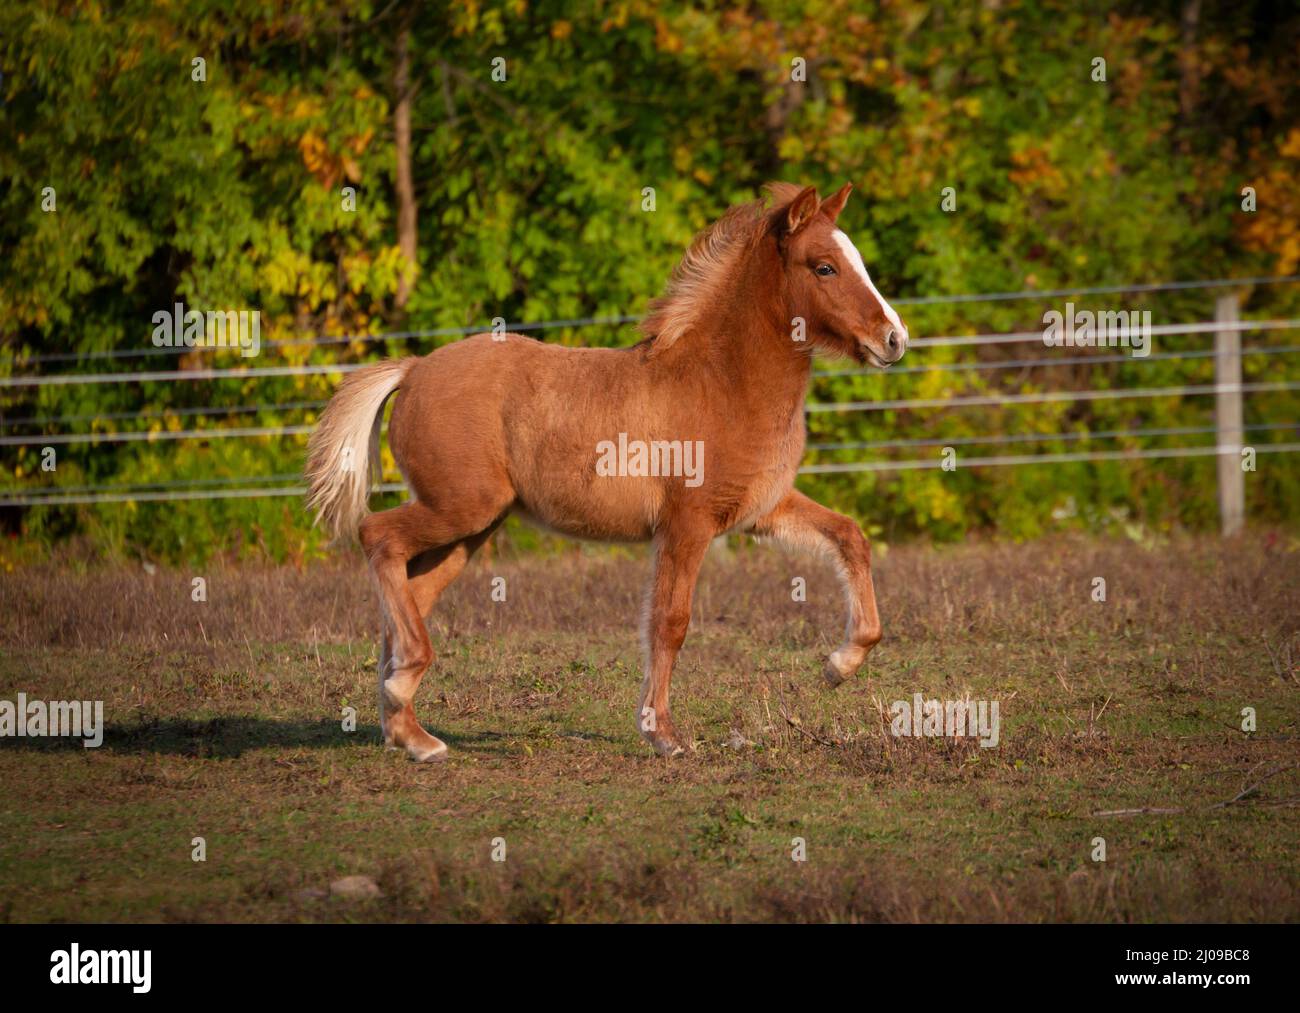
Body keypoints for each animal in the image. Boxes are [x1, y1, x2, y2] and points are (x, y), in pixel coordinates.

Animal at [305, 181, 908, 760]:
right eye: (824, 266)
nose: (894, 339)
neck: (720, 380)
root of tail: (413, 369)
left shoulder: (762, 510)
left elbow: (851, 537)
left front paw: (840, 664)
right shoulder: (687, 524)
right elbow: (669, 622)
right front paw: (664, 735)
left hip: (470, 527)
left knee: (413, 586)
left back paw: (410, 730)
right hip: (458, 509)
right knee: (377, 536)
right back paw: (406, 688)